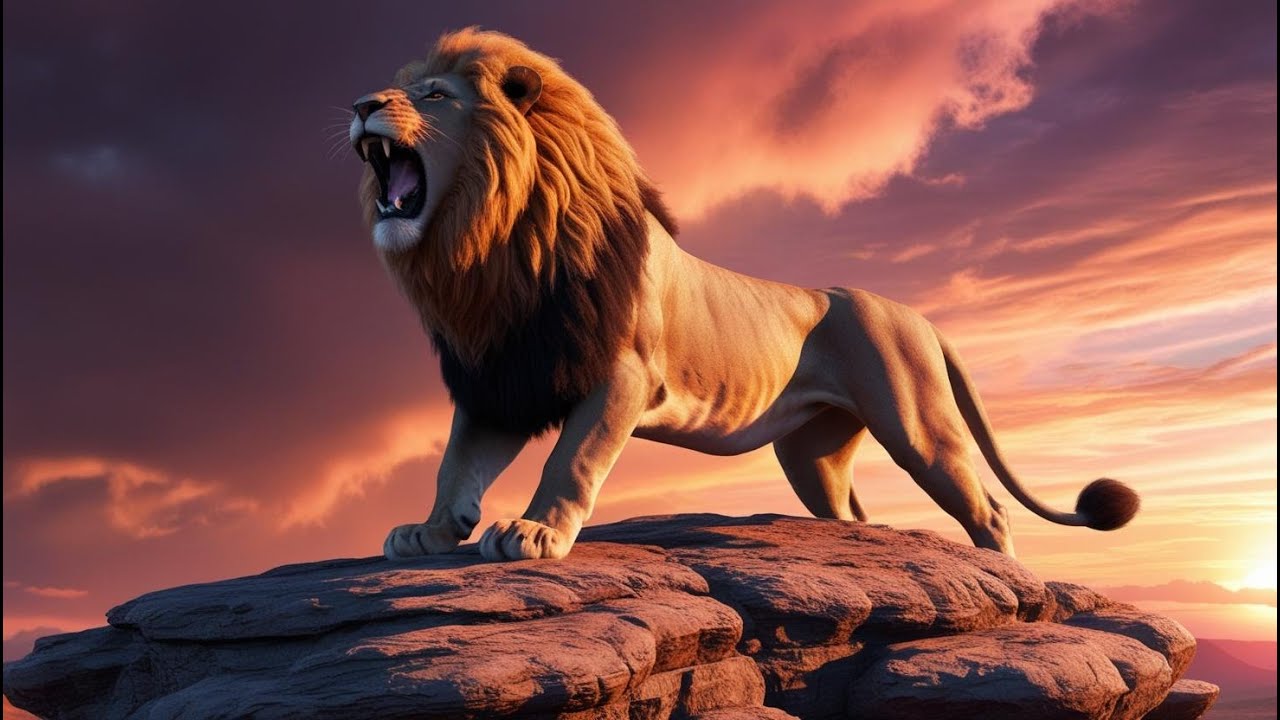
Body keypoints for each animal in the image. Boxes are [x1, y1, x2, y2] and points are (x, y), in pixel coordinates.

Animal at [349, 28, 1139, 562]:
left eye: (436, 97)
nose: (359, 104)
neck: (497, 247)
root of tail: (913, 312)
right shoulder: (505, 372)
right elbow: (457, 462)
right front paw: (431, 531)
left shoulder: (621, 374)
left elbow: (569, 459)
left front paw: (536, 530)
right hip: (814, 455)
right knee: (852, 517)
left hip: (918, 424)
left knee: (989, 508)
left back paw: (1014, 580)